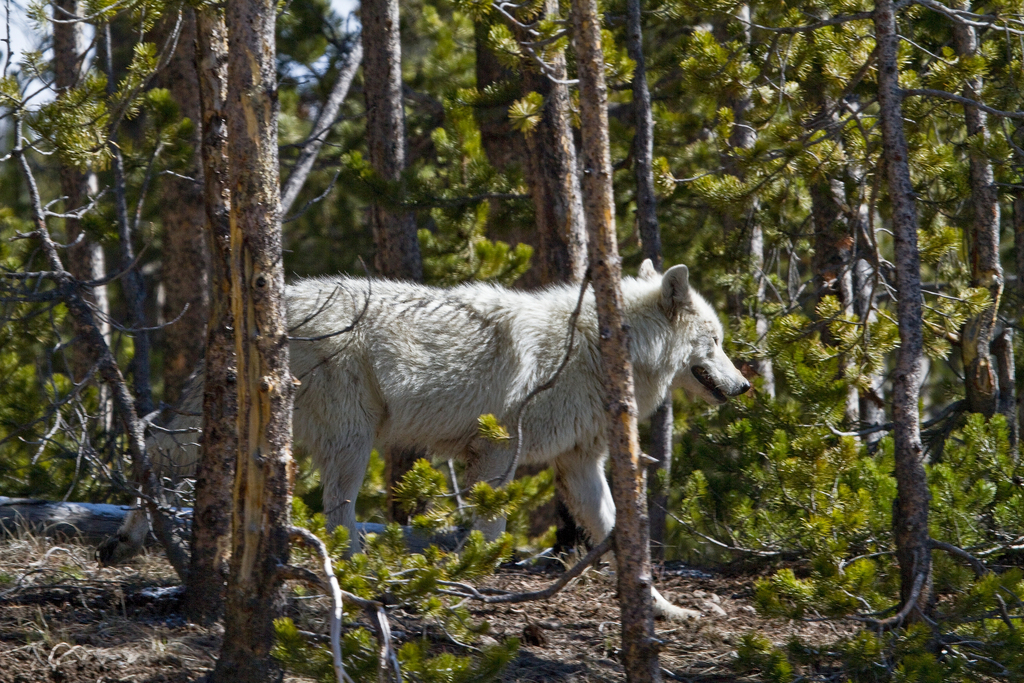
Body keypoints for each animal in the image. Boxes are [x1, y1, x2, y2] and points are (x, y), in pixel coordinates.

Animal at [105, 259, 749, 620]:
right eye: (716, 343)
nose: (744, 386)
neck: (600, 349)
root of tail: (260, 309)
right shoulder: (497, 454)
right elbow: (490, 527)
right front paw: (479, 576)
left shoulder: (579, 465)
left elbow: (619, 536)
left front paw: (663, 608)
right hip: (353, 441)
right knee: (334, 515)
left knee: (170, 449)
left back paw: (132, 534)